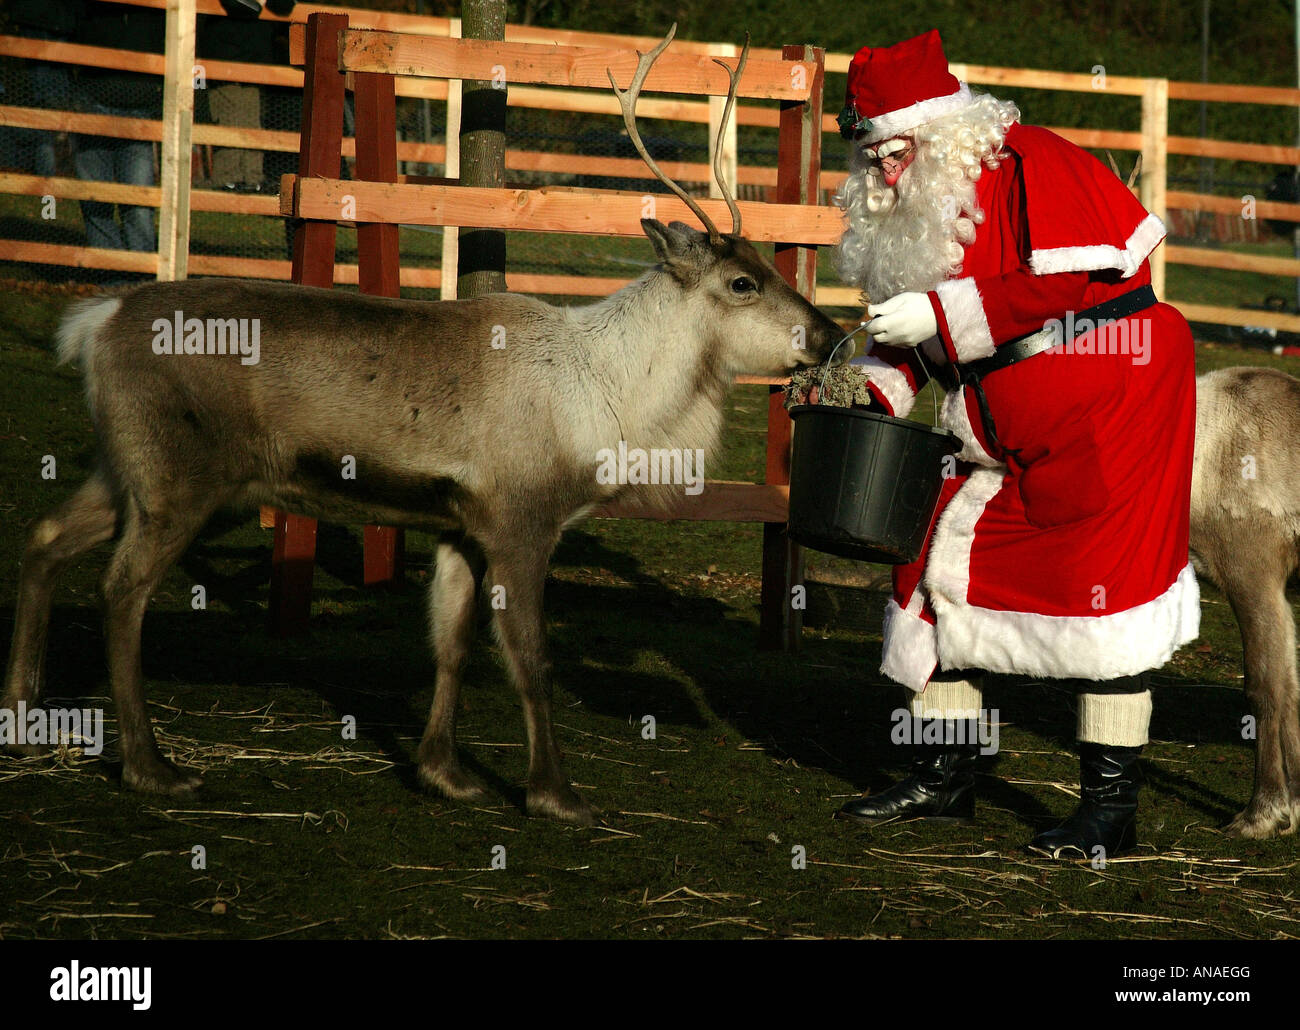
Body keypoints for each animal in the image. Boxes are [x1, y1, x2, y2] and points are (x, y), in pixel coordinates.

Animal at [0, 27, 847, 826]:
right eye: (741, 282)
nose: (830, 332)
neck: (609, 398)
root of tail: (94, 325)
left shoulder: (458, 524)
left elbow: (451, 645)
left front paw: (445, 772)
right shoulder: (521, 518)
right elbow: (529, 657)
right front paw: (555, 794)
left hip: (127, 468)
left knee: (44, 538)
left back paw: (22, 718)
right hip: (181, 476)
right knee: (121, 588)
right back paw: (152, 766)